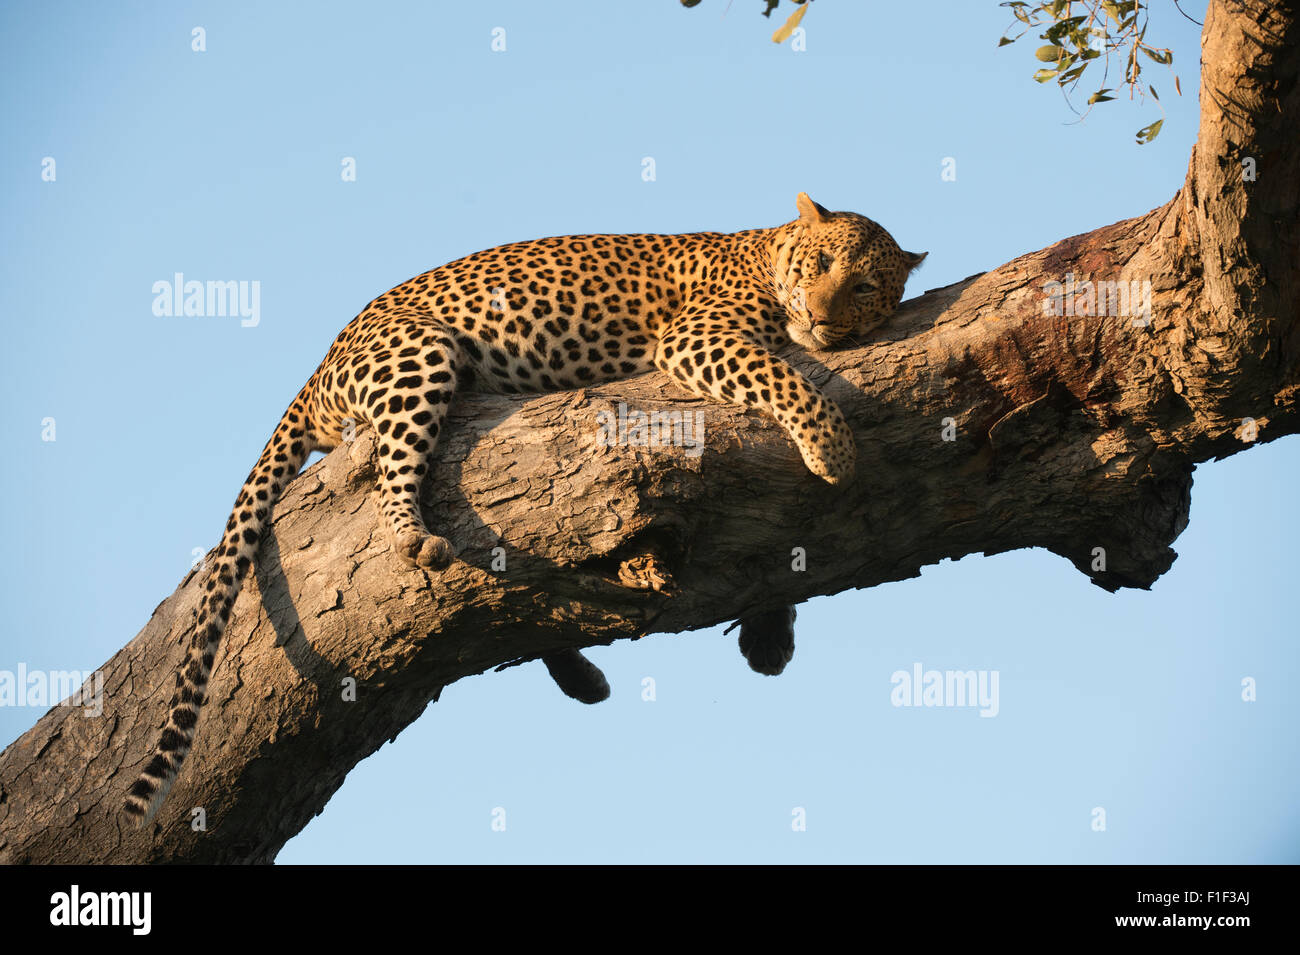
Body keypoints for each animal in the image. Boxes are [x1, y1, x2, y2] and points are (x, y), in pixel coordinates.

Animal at [123, 192, 925, 825]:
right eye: (820, 267)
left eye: (865, 285)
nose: (820, 316)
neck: (766, 250)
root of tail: (321, 366)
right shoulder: (698, 335)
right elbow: (783, 378)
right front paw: (832, 447)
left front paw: (770, 632)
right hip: (419, 356)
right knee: (390, 474)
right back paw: (414, 538)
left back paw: (580, 675)